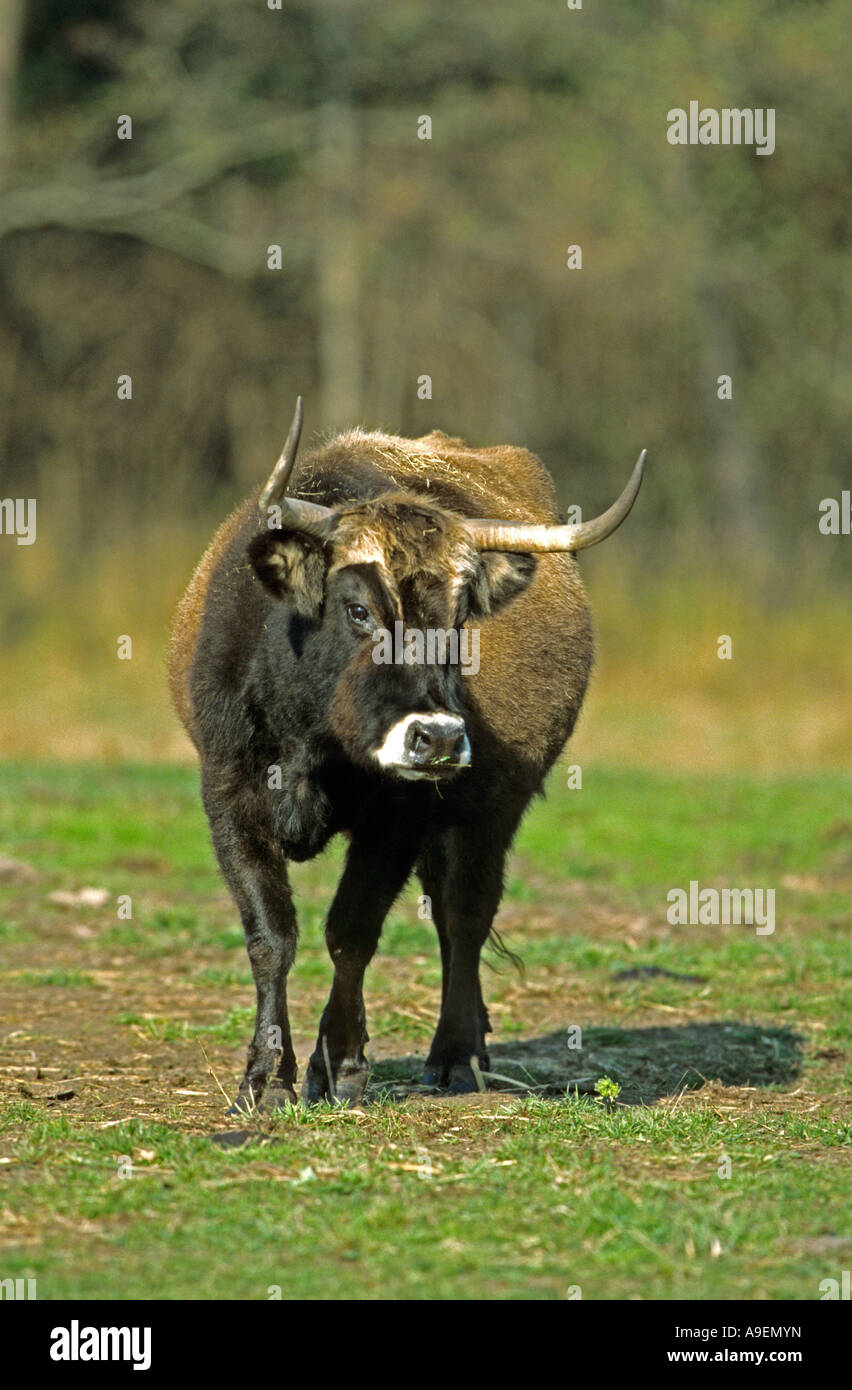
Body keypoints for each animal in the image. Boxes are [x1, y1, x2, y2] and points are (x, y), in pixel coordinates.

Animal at [169, 399, 645, 1111]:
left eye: (458, 619)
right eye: (358, 609)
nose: (439, 737)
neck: (311, 742)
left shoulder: (401, 817)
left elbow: (351, 933)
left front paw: (340, 1065)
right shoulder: (229, 796)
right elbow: (271, 936)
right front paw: (265, 1077)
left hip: (488, 814)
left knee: (463, 917)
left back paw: (455, 1055)